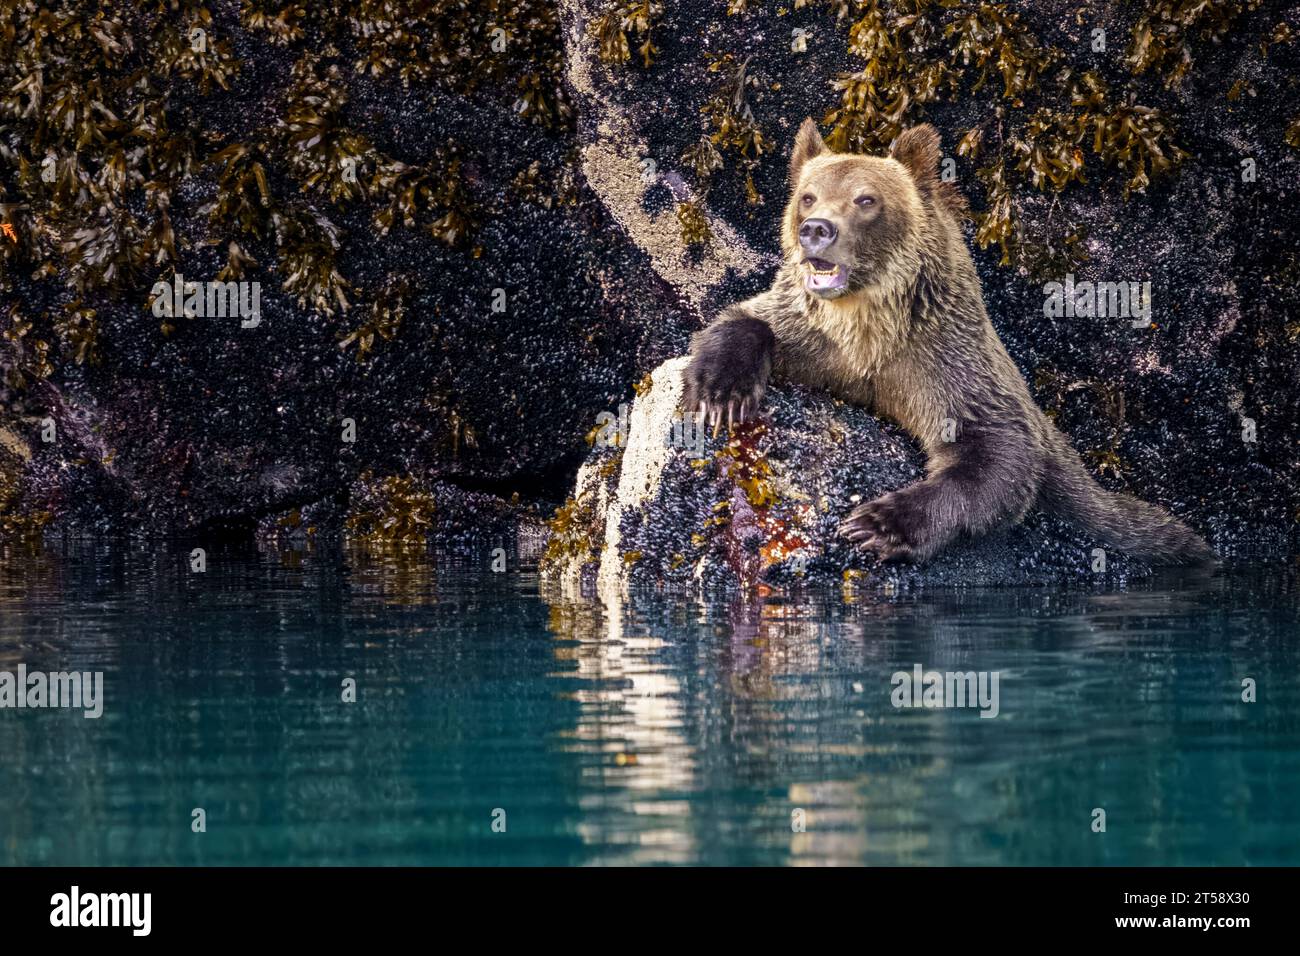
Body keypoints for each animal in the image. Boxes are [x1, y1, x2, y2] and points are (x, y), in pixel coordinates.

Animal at [682, 117, 1214, 566]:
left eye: (865, 199)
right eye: (808, 196)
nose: (817, 230)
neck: (870, 325)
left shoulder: (945, 357)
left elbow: (993, 450)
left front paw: (877, 523)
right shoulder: (820, 335)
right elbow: (748, 318)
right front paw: (719, 393)